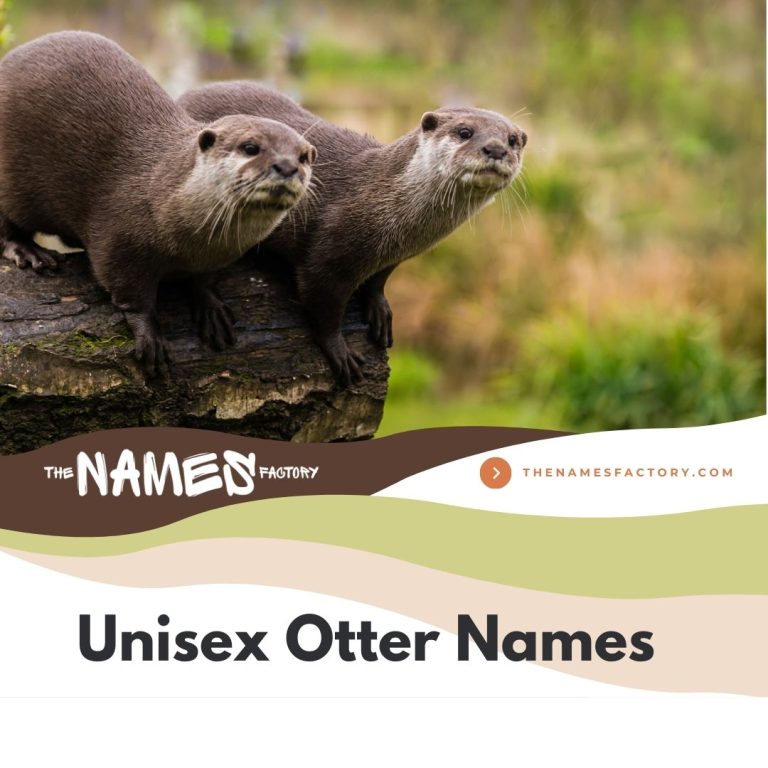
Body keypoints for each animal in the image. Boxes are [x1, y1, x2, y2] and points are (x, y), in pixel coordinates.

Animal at [0, 33, 316, 376]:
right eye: (250, 147)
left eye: (303, 156)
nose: (287, 166)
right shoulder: (119, 242)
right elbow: (130, 293)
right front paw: (149, 335)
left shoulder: (218, 257)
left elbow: (204, 281)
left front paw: (210, 306)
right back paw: (28, 251)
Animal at [179, 82, 526, 384]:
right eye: (464, 132)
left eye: (512, 139)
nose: (495, 148)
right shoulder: (328, 258)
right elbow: (324, 306)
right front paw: (340, 351)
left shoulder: (393, 256)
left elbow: (379, 280)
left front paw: (378, 307)